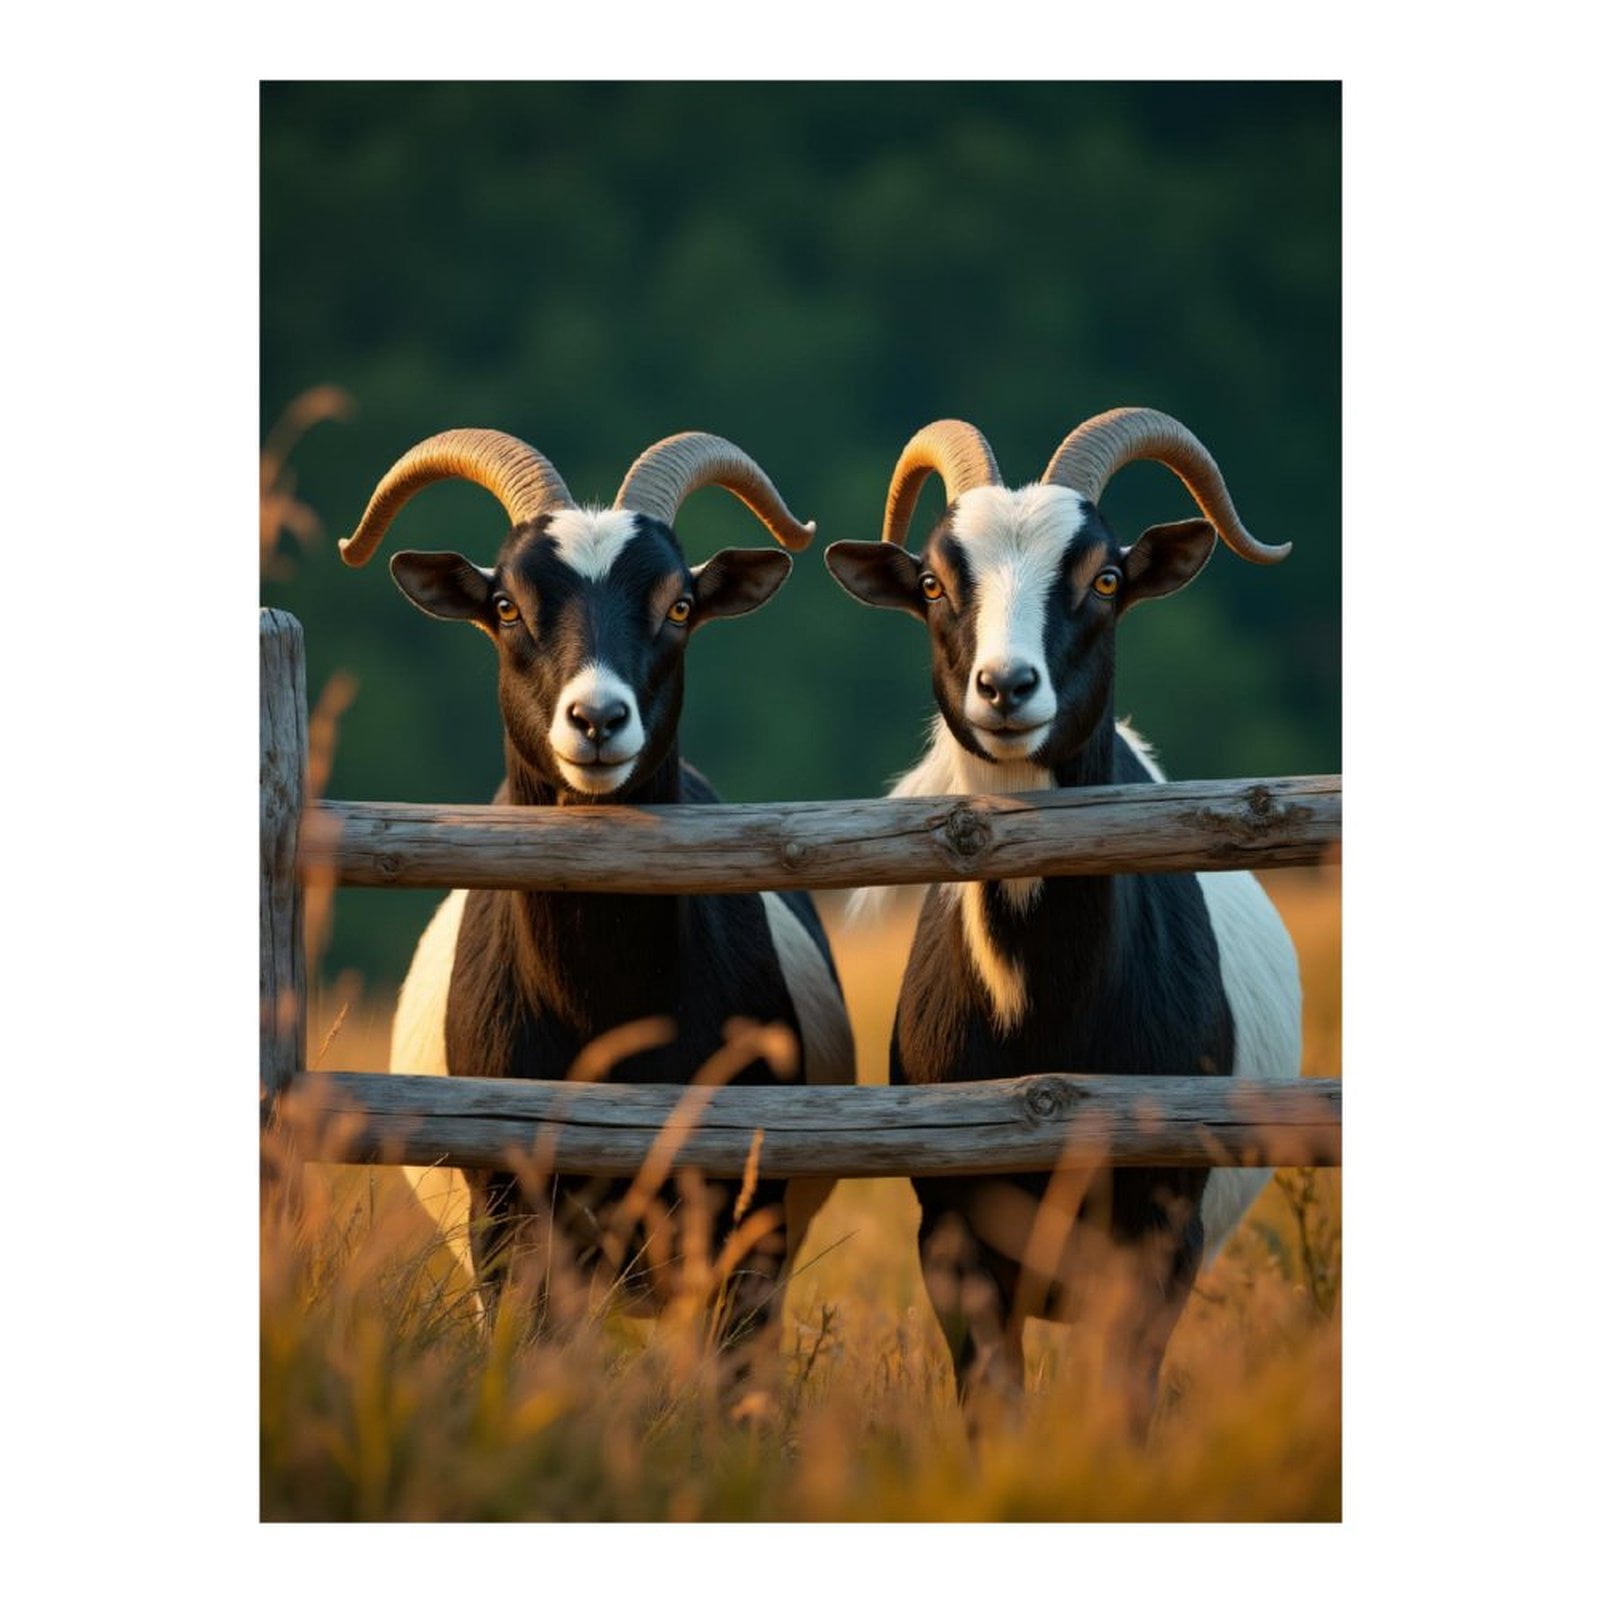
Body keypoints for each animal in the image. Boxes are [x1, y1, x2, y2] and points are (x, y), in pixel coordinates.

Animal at [824, 407, 1301, 1431]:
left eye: (1106, 578)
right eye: (934, 582)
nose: (1007, 688)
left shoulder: (1160, 1232)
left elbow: (1123, 1404)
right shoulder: (951, 1234)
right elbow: (990, 1405)